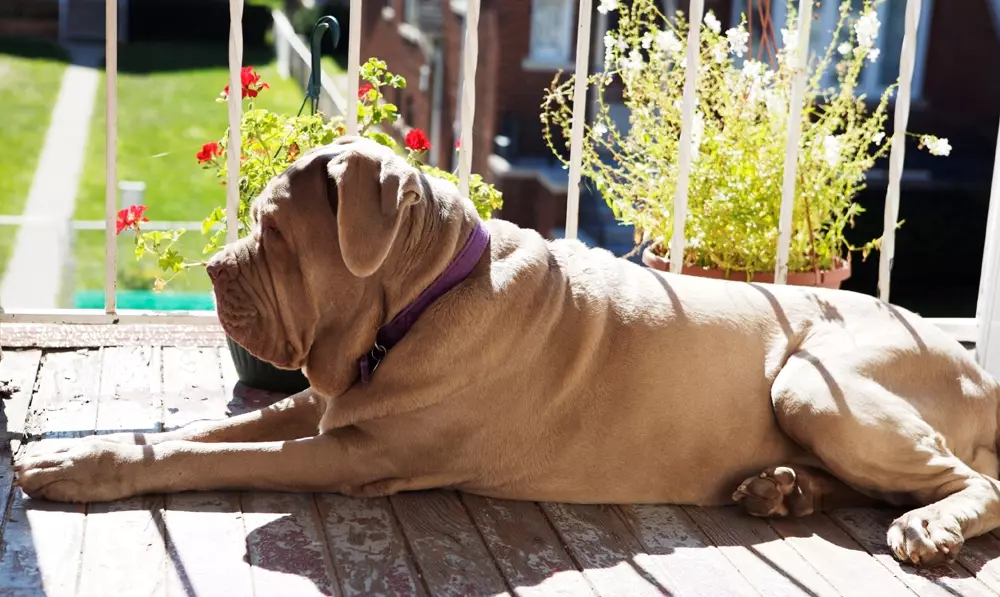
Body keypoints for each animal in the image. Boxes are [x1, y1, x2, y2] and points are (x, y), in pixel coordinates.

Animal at [11, 136, 1000, 568]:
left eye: (275, 232)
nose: (215, 270)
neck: (426, 297)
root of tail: (976, 367)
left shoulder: (351, 451)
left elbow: (202, 455)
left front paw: (78, 468)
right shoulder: (324, 403)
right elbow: (188, 434)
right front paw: (85, 449)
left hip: (814, 383)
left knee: (966, 480)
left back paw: (929, 524)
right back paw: (781, 486)